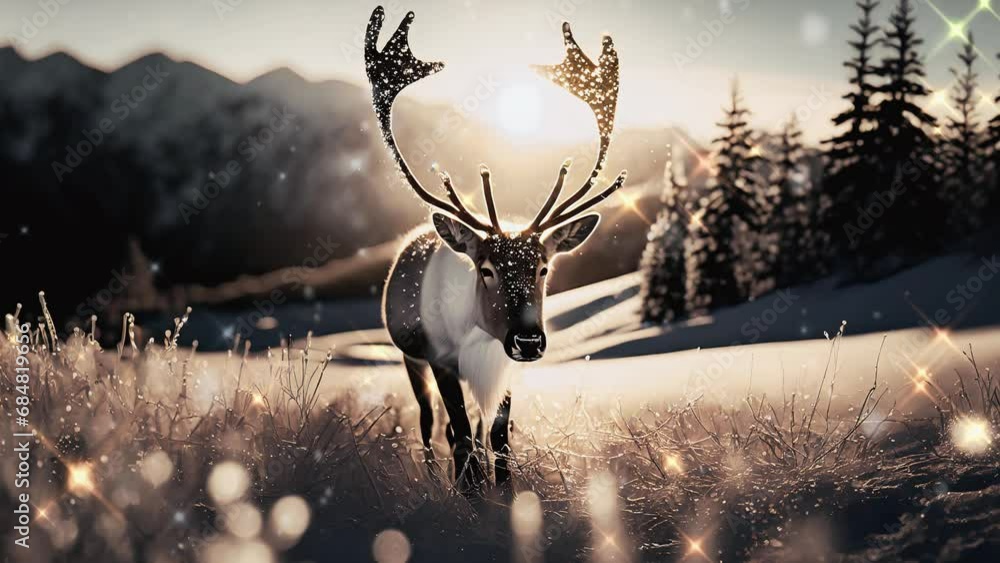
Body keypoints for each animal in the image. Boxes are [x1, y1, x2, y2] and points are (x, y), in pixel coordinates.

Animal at [364, 6, 627, 493]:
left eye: (544, 268)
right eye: (485, 268)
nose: (528, 339)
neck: (479, 335)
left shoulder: (505, 371)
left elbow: (500, 436)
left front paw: (502, 490)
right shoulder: (441, 359)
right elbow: (462, 434)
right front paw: (467, 491)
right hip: (411, 355)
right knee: (430, 423)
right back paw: (436, 474)